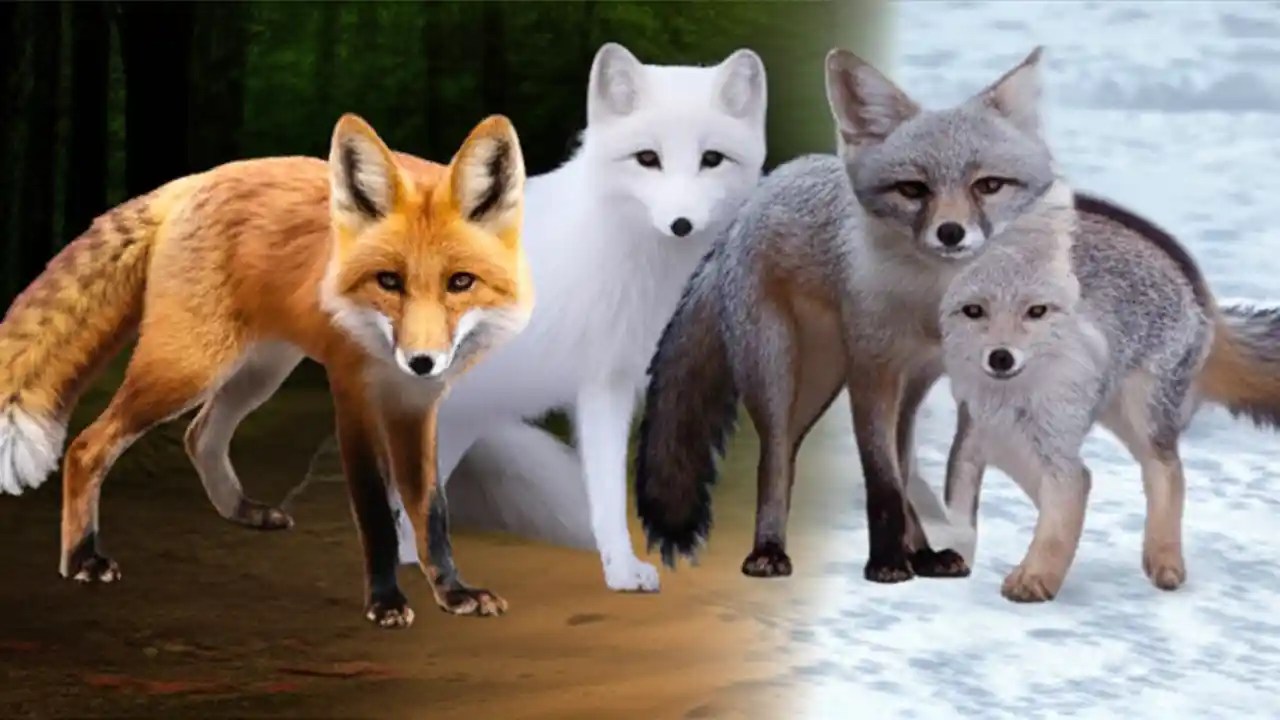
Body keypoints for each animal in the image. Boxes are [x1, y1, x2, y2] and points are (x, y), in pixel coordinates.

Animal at [0, 113, 532, 629]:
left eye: (460, 283)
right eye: (388, 281)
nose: (421, 361)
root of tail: (194, 180)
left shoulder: (415, 405)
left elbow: (431, 510)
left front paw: (453, 591)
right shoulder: (353, 395)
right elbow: (376, 512)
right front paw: (385, 601)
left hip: (258, 373)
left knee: (199, 436)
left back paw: (241, 511)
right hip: (186, 367)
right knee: (87, 446)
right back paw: (82, 558)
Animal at [375, 42, 768, 593]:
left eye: (712, 160)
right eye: (648, 159)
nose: (681, 224)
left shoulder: (613, 381)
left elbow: (608, 494)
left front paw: (622, 568)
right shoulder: (596, 383)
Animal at [634, 47, 1079, 582]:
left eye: (988, 185)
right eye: (913, 190)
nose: (951, 233)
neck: (932, 308)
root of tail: (749, 205)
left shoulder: (944, 382)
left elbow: (911, 477)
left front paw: (917, 553)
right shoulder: (873, 374)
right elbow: (883, 481)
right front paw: (885, 563)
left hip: (836, 386)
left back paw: (919, 553)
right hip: (779, 377)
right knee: (775, 461)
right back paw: (769, 551)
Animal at [940, 193, 1280, 603]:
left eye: (1036, 312)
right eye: (974, 311)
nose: (1001, 358)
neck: (1011, 398)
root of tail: (1193, 279)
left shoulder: (1052, 449)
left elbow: (1066, 502)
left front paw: (1035, 576)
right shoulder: (977, 442)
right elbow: (964, 515)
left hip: (1139, 418)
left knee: (1167, 472)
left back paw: (1164, 559)